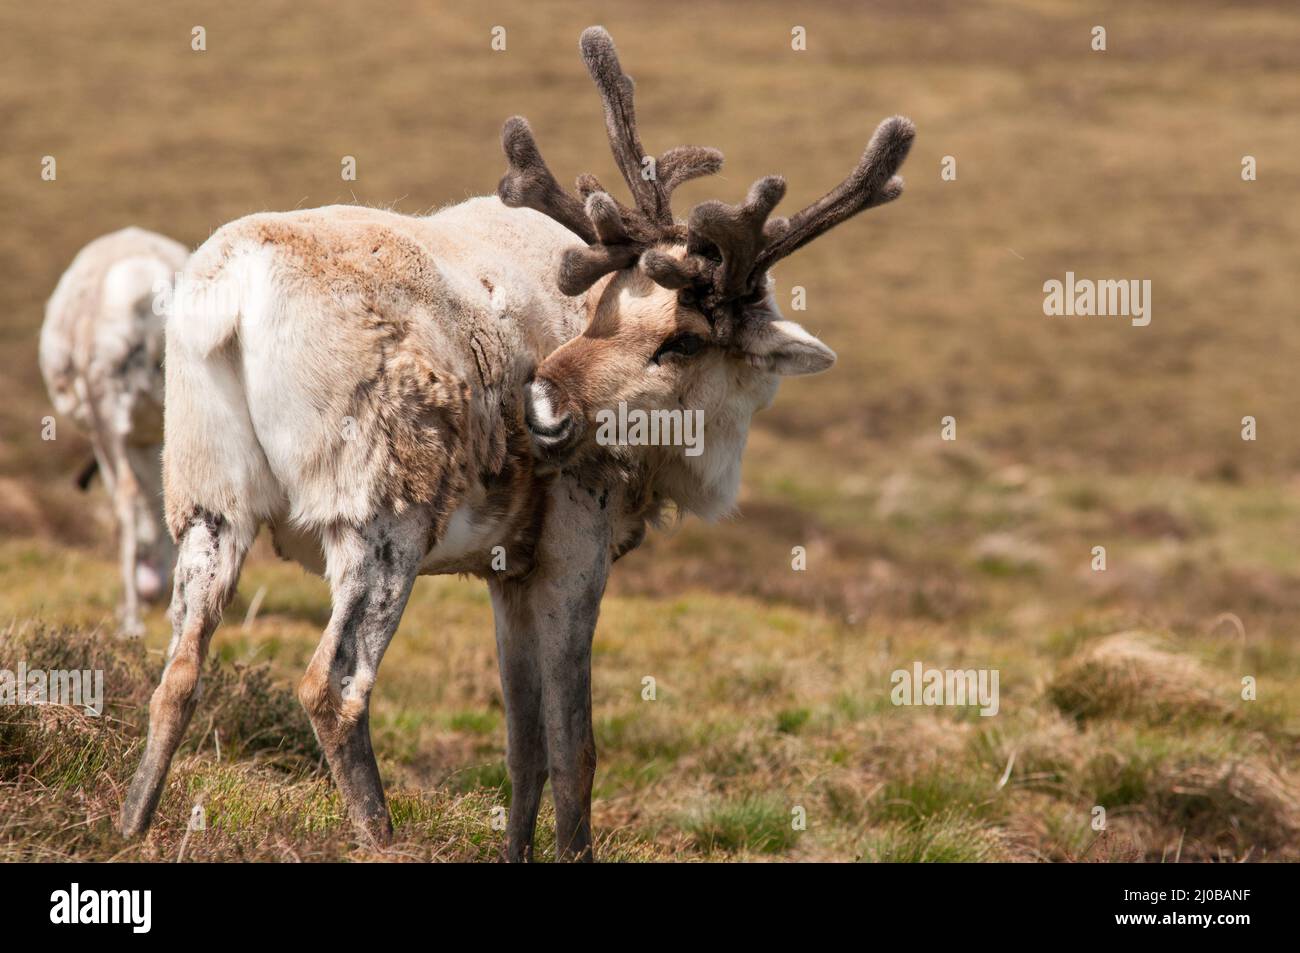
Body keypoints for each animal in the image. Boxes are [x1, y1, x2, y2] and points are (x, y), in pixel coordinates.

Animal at [119, 26, 913, 861]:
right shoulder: (575, 545)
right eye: (609, 311)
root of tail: (232, 294)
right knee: (332, 687)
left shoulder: (508, 568)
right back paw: (382, 836)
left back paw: (130, 827)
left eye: (684, 340)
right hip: (383, 515)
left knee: (178, 674)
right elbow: (574, 747)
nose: (542, 409)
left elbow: (521, 744)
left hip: (207, 500)